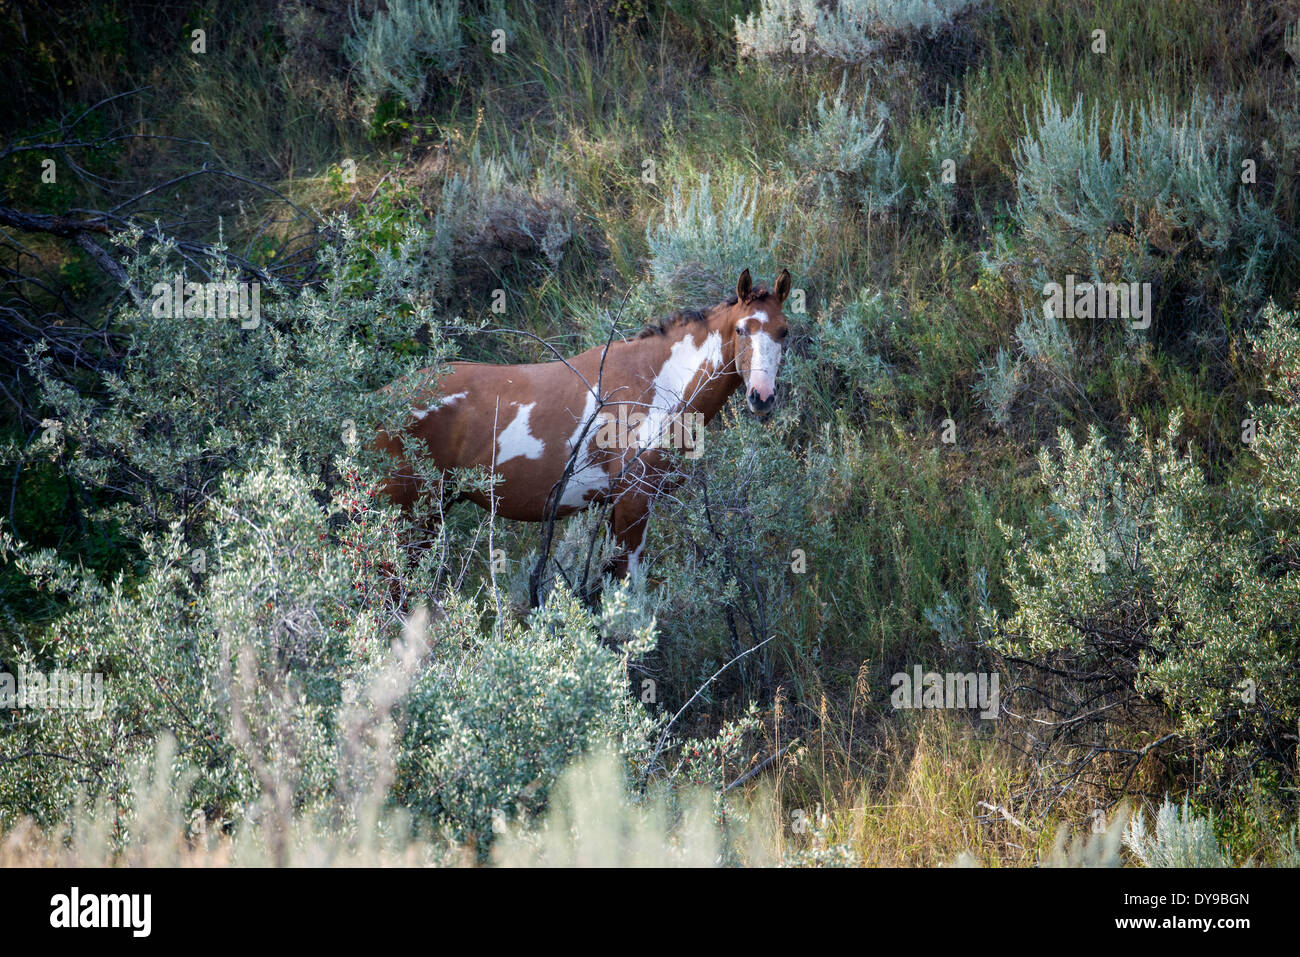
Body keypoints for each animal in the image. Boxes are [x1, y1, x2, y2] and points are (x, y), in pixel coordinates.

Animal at [374, 268, 792, 580]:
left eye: (784, 331)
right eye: (741, 330)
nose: (762, 396)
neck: (658, 384)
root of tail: (381, 400)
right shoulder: (633, 503)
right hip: (412, 518)